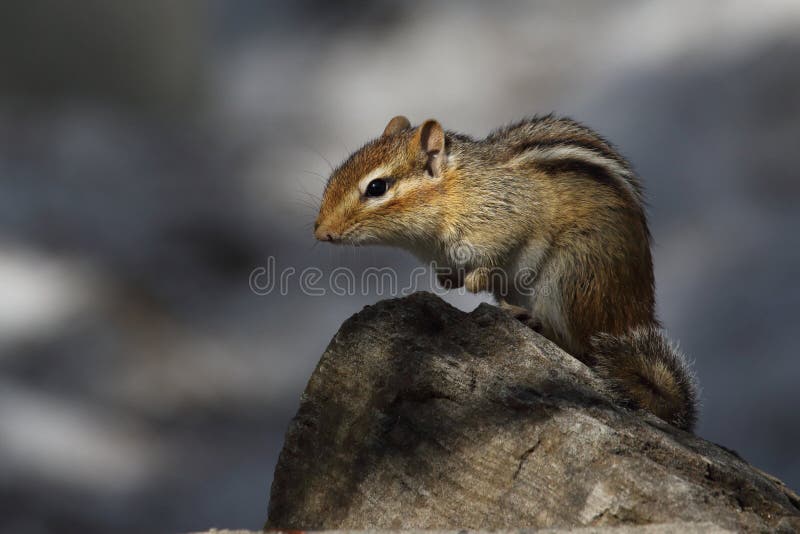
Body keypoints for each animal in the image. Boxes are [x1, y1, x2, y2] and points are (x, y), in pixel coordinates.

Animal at [313, 114, 698, 431]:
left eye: (377, 187)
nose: (321, 233)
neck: (454, 190)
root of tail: (635, 316)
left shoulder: (513, 216)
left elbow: (506, 248)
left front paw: (475, 280)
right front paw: (450, 280)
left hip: (571, 276)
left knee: (580, 347)